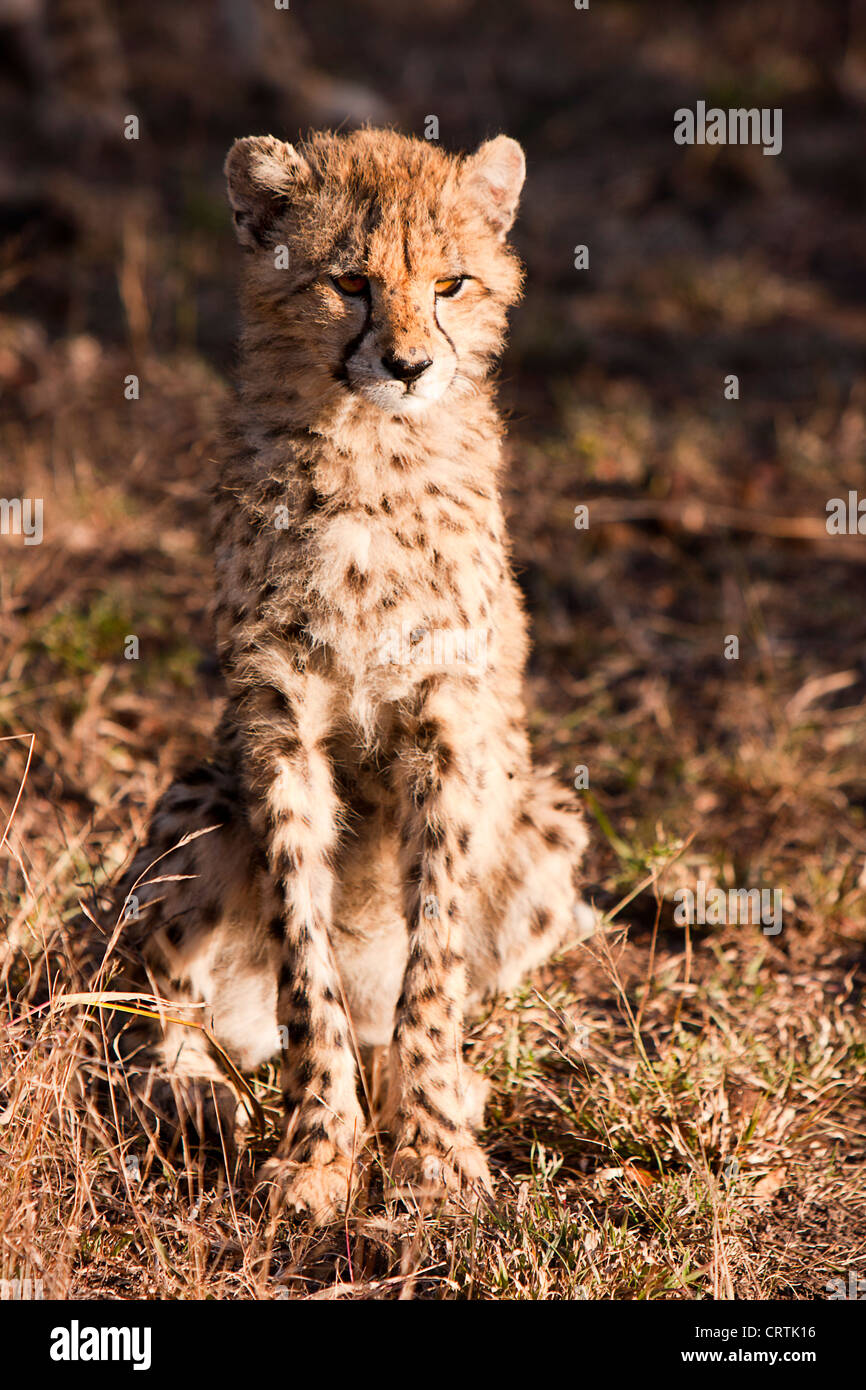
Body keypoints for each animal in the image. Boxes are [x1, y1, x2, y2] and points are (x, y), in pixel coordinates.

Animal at [108, 127, 592, 1223]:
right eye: (350, 283)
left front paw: (431, 1144)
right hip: (196, 800)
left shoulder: (446, 723)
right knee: (173, 1011)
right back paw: (194, 1091)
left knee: (411, 1005)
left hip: (545, 825)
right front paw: (321, 1148)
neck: (369, 446)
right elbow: (303, 953)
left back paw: (438, 1080)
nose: (407, 365)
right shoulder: (275, 722)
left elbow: (435, 960)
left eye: (451, 283)